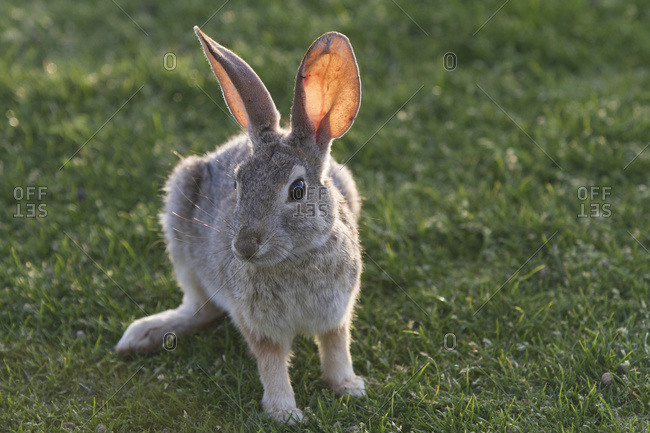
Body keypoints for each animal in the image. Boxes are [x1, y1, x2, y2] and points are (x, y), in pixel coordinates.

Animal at [115, 26, 365, 423]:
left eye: (297, 191)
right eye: (237, 183)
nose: (245, 246)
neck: (295, 258)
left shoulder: (336, 312)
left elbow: (336, 347)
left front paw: (349, 388)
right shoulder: (258, 324)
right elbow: (271, 362)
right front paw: (285, 412)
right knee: (200, 307)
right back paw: (145, 335)